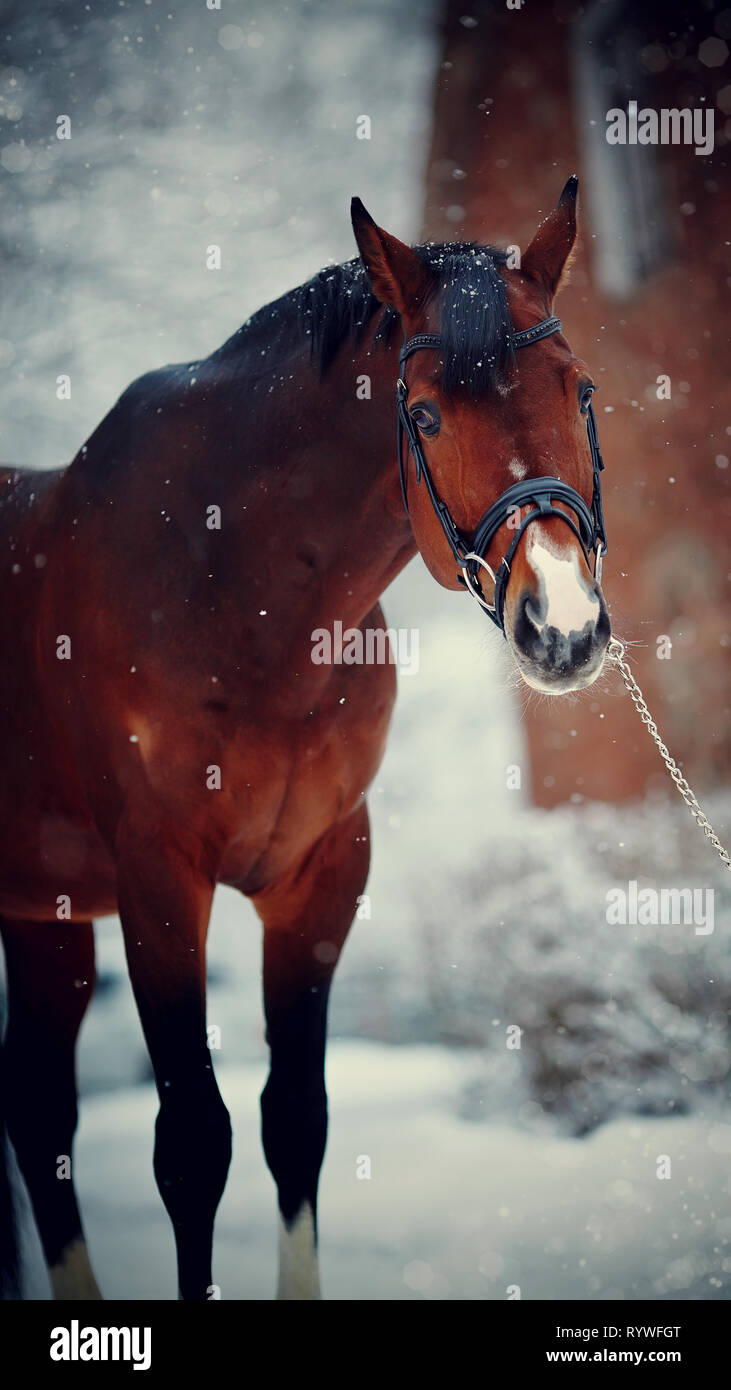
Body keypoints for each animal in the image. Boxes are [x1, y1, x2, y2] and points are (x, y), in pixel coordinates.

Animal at [0, 175, 610, 1301]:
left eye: (580, 389)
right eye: (421, 413)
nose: (561, 625)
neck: (232, 584)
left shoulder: (321, 876)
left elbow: (296, 1122)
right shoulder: (160, 879)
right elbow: (192, 1143)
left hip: (45, 912)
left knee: (38, 1112)